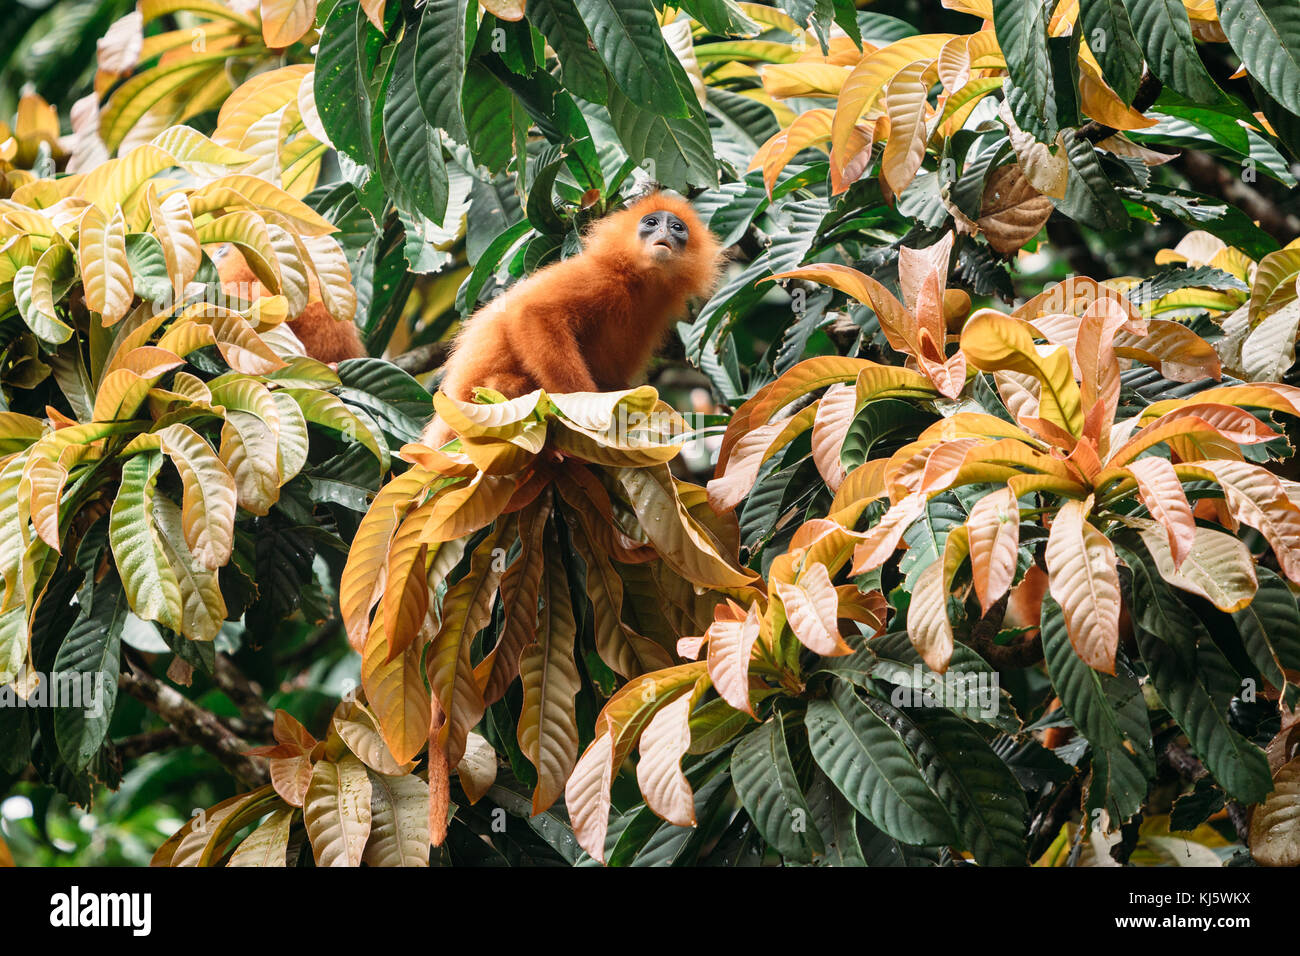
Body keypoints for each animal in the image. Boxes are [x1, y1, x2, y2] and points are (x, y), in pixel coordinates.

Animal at [421, 192, 722, 448]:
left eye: (677, 228)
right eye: (651, 223)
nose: (664, 233)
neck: (640, 281)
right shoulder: (598, 276)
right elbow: (531, 313)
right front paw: (587, 420)